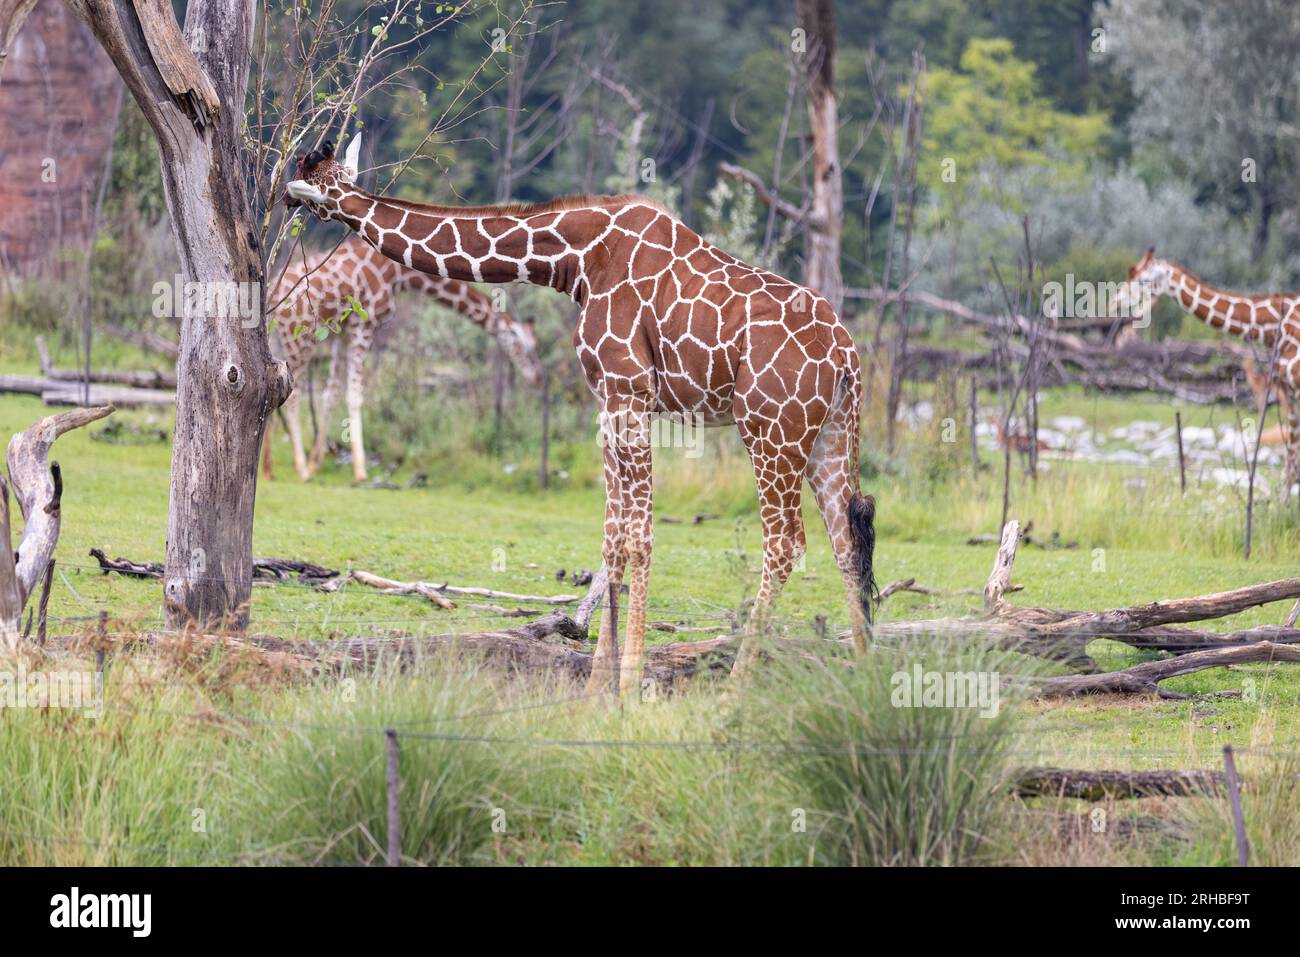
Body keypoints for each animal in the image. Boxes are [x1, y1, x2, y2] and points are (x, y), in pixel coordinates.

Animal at [268, 235, 544, 482]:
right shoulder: (364, 325)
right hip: (299, 337)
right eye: (524, 347)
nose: (536, 378)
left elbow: (331, 394)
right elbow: (355, 396)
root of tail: (271, 293)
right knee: (294, 394)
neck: (399, 273)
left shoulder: (341, 333)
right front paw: (359, 472)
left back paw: (267, 471)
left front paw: (317, 462)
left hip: (275, 338)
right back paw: (300, 470)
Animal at [1116, 248, 1300, 490]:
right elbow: (1290, 466)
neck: (1273, 324)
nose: (1115, 301)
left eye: (1142, 280)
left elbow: (1291, 465)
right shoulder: (1291, 393)